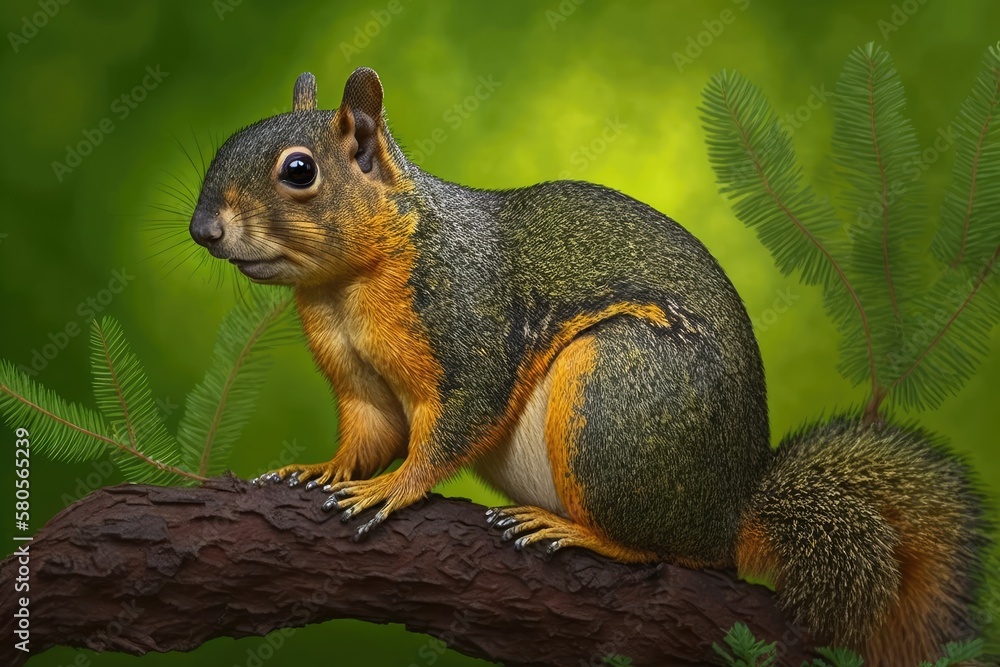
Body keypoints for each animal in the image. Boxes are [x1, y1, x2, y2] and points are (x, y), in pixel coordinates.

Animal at [188, 67, 992, 665]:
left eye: (299, 171)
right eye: (224, 143)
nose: (202, 230)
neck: (346, 286)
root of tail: (731, 510)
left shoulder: (470, 323)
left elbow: (453, 425)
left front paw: (393, 489)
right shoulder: (358, 382)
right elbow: (369, 431)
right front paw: (323, 470)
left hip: (616, 394)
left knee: (672, 551)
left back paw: (577, 532)